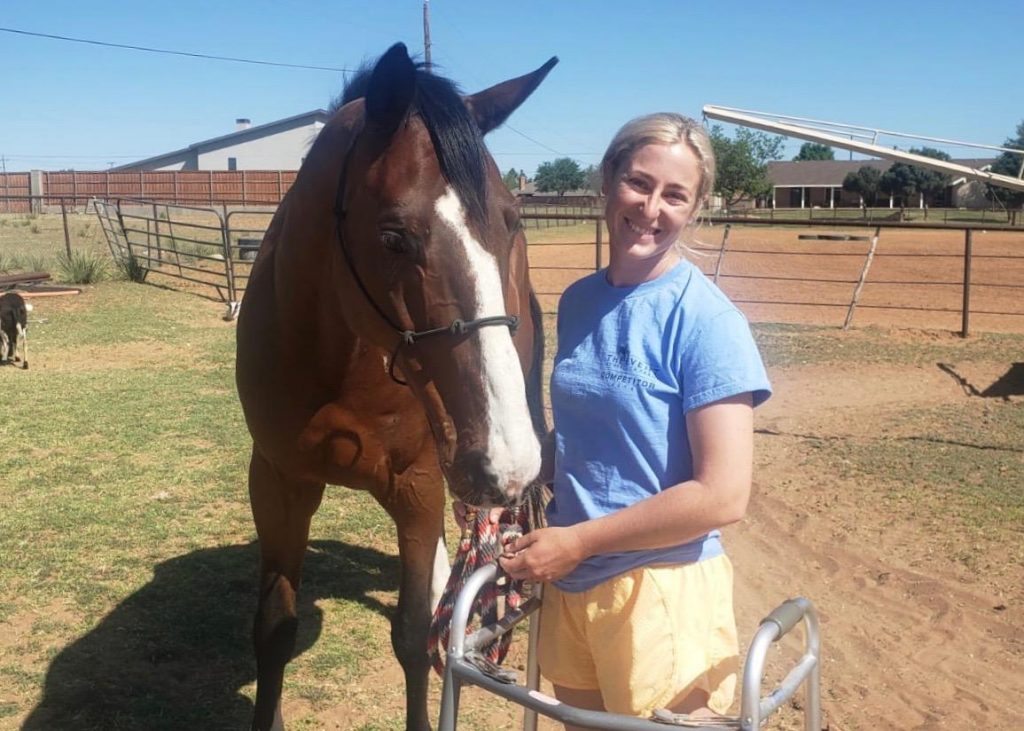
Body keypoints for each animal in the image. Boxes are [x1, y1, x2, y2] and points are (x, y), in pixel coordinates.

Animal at [235, 43, 556, 731]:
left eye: (511, 222)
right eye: (392, 236)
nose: (508, 460)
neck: (341, 368)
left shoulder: (418, 485)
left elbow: (412, 636)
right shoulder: (277, 483)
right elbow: (273, 629)